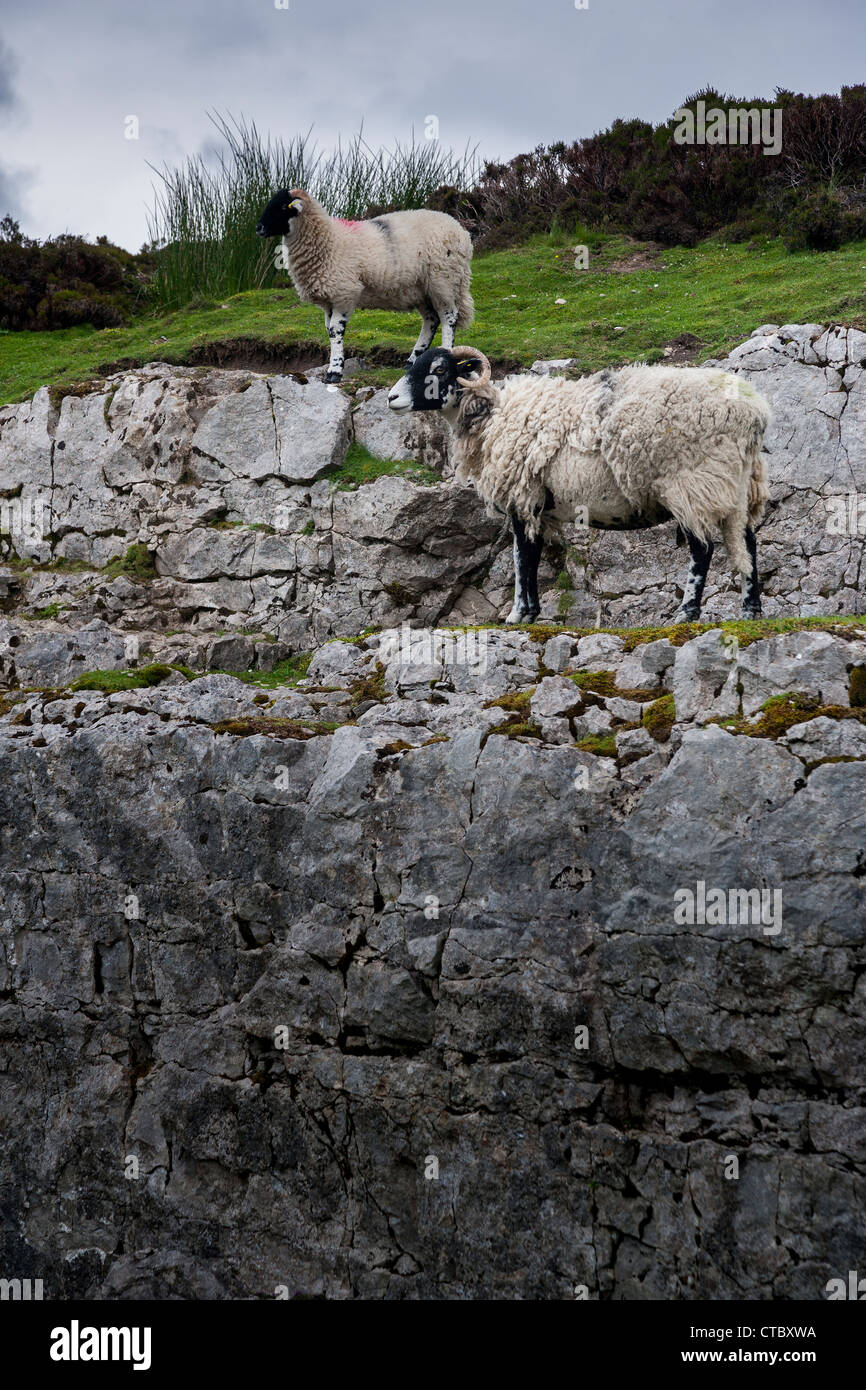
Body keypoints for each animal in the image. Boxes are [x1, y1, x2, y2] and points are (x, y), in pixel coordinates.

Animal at [256, 189, 474, 382]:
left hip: (443, 281)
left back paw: (444, 353)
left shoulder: (345, 293)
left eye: (283, 206)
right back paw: (412, 361)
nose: (259, 228)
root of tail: (461, 230)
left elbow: (335, 330)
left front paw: (334, 371)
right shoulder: (329, 300)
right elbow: (328, 329)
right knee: (431, 320)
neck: (329, 238)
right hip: (420, 289)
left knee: (449, 317)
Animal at [387, 346, 771, 624]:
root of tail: (752, 412)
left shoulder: (522, 496)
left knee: (702, 548)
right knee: (748, 543)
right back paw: (750, 611)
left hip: (690, 483)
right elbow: (533, 553)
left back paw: (686, 614)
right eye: (412, 364)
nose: (391, 399)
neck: (491, 417)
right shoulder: (539, 506)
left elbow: (521, 556)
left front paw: (517, 615)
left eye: (439, 370)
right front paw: (531, 612)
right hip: (740, 484)